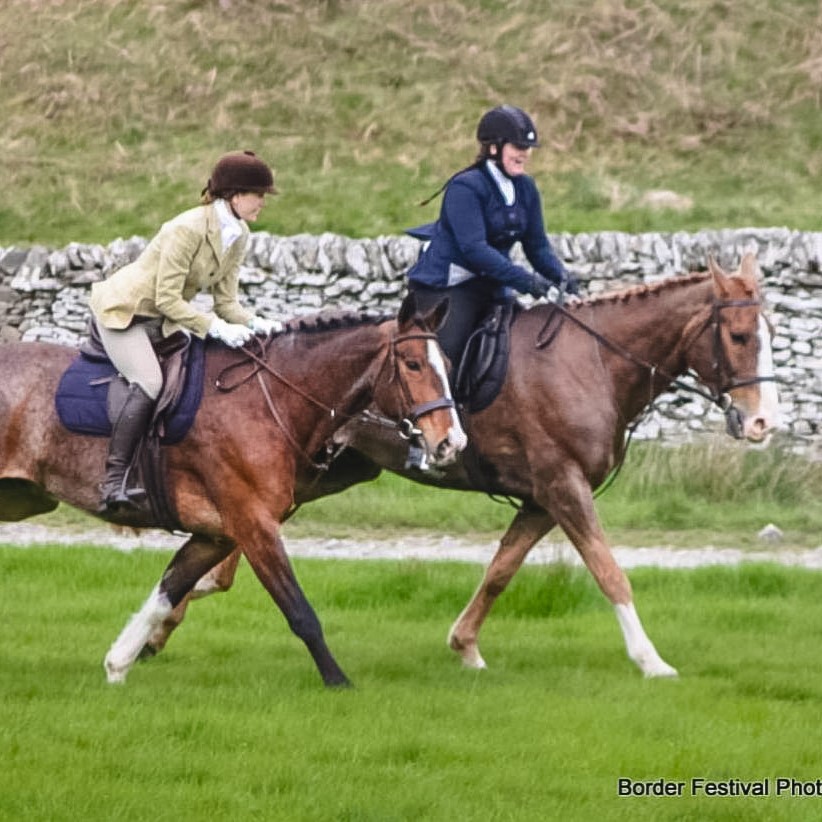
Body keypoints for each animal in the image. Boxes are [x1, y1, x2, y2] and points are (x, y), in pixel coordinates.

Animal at [0, 293, 467, 687]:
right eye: (412, 364)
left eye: (445, 362)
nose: (452, 443)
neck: (269, 400)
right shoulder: (254, 526)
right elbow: (300, 612)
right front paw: (339, 683)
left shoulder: (217, 534)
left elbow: (167, 593)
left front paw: (119, 663)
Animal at [141, 254, 780, 678]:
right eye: (738, 335)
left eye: (770, 333)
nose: (761, 423)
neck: (594, 361)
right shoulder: (564, 487)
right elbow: (607, 570)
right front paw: (651, 661)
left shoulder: (541, 499)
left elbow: (501, 570)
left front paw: (465, 645)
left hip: (326, 472)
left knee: (230, 547)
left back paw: (164, 624)